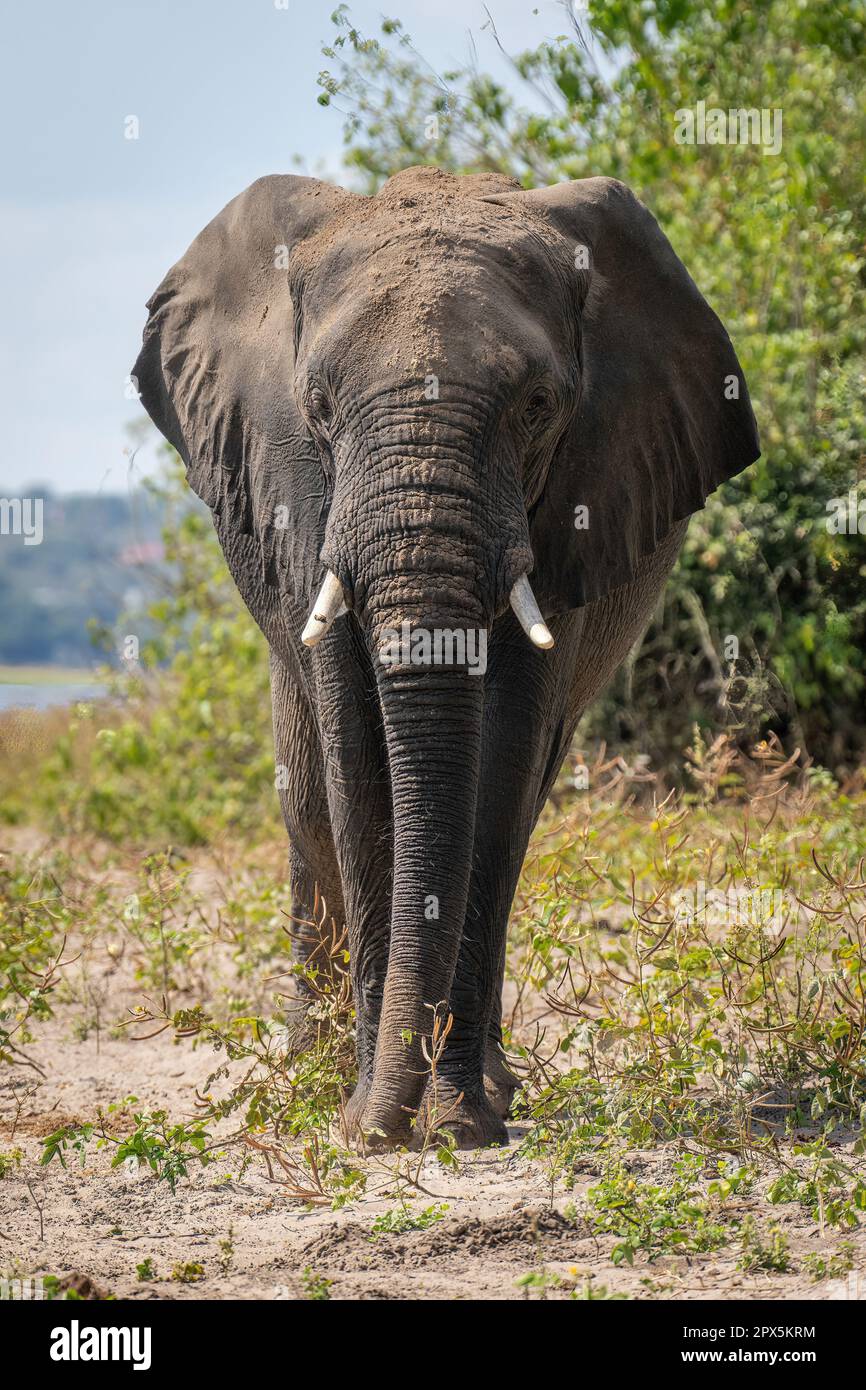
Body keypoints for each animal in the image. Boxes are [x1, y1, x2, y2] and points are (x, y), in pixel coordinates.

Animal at [132, 165, 759, 1150]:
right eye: (318, 406)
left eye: (538, 407)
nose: (383, 1125)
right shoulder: (303, 502)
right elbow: (356, 764)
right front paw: (370, 1118)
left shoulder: (571, 509)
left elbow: (497, 772)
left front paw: (461, 1120)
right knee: (306, 802)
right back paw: (311, 1074)